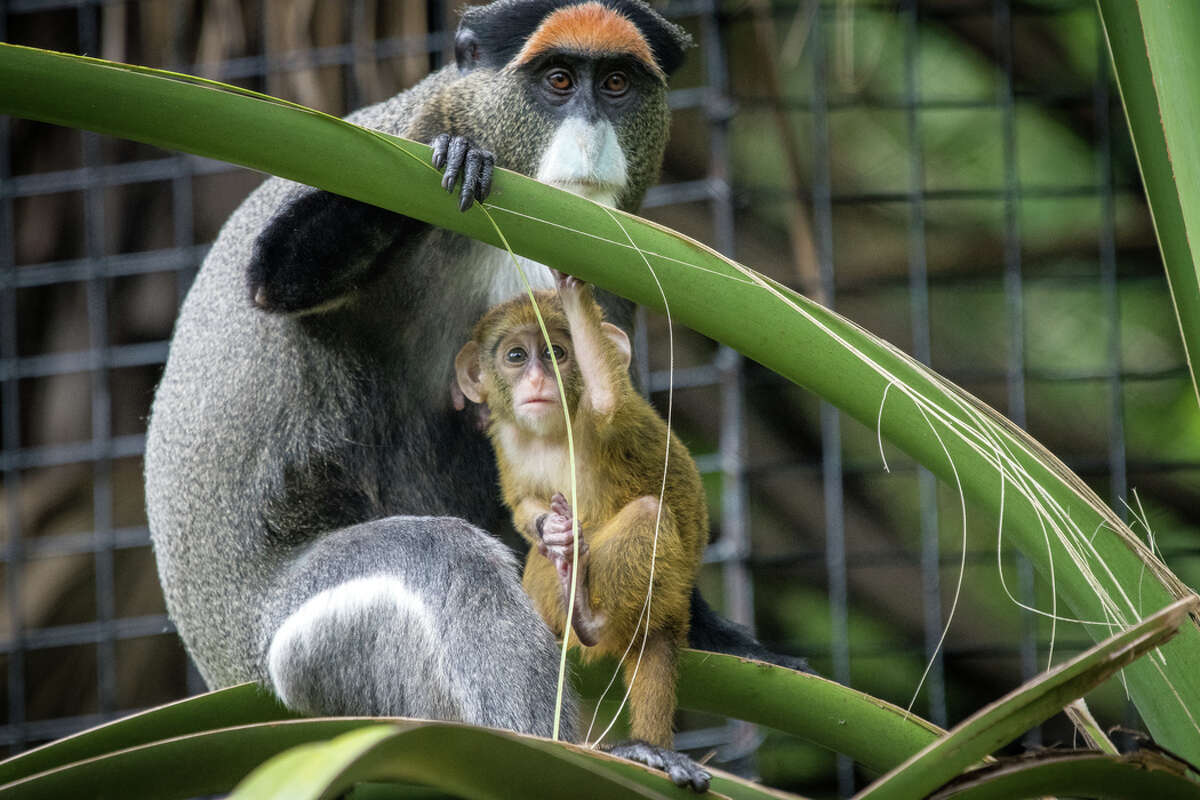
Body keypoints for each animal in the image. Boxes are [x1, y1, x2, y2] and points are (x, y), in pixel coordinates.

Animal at [455, 272, 708, 750]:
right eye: (516, 356)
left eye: (556, 353)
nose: (539, 379)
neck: (553, 434)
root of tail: (674, 615)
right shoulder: (507, 438)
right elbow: (523, 503)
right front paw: (552, 528)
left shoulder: (600, 417)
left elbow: (607, 398)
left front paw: (573, 292)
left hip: (659, 594)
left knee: (649, 514)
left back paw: (591, 620)